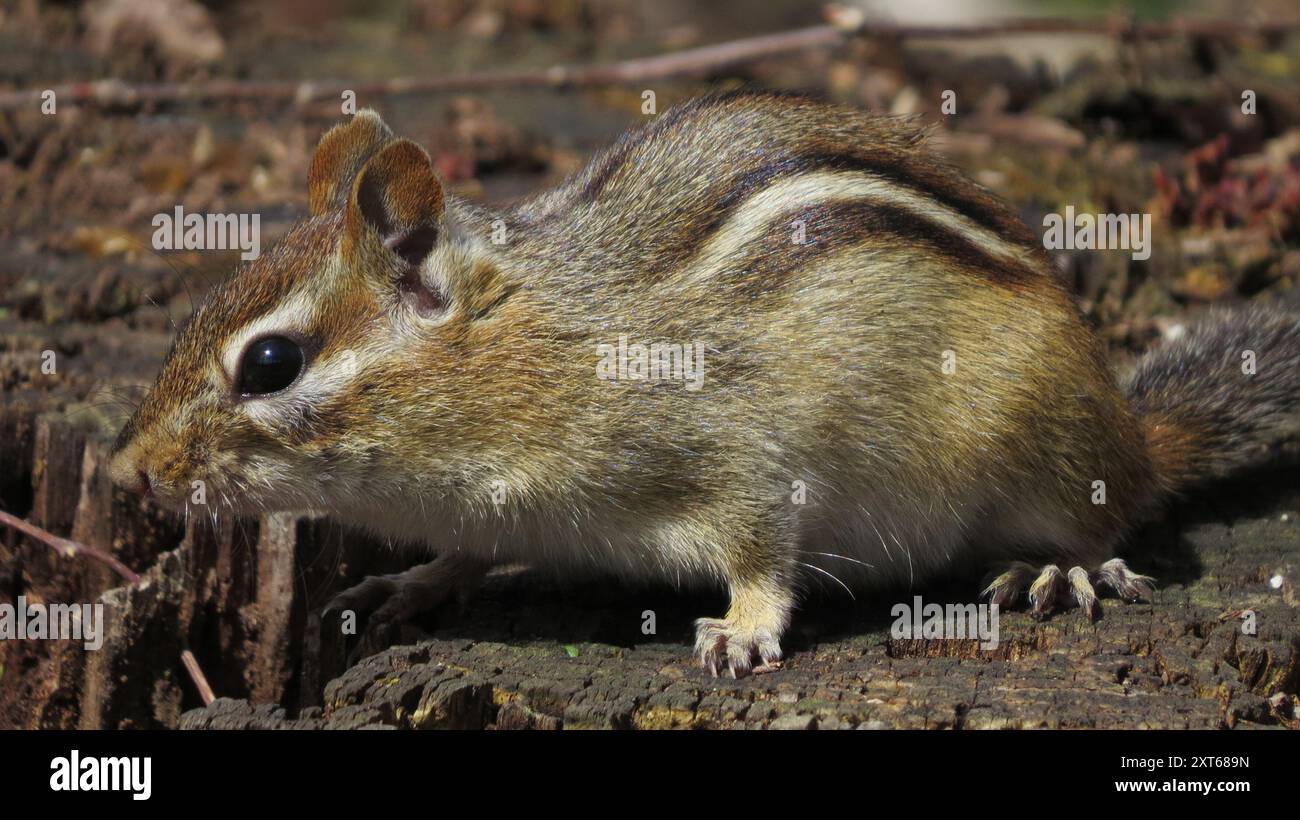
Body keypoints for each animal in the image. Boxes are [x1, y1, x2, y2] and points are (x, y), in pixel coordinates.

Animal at [110, 92, 1300, 677]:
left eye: (271, 362)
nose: (130, 473)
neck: (522, 350)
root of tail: (1131, 430)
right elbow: (462, 553)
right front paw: (406, 584)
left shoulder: (735, 448)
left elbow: (762, 545)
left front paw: (743, 628)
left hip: (1042, 446)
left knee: (1105, 515)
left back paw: (1066, 569)